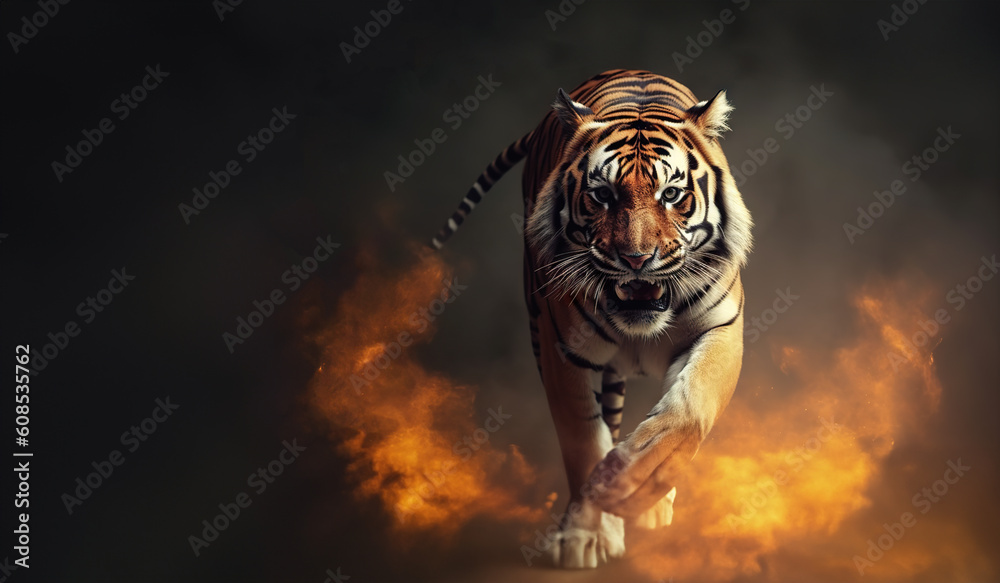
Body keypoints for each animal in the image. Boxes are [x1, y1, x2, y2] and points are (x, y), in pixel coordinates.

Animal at [430, 69, 752, 568]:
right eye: (603, 195)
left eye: (671, 194)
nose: (637, 259)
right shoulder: (564, 352)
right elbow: (583, 440)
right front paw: (583, 533)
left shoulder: (722, 329)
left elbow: (688, 409)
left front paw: (638, 481)